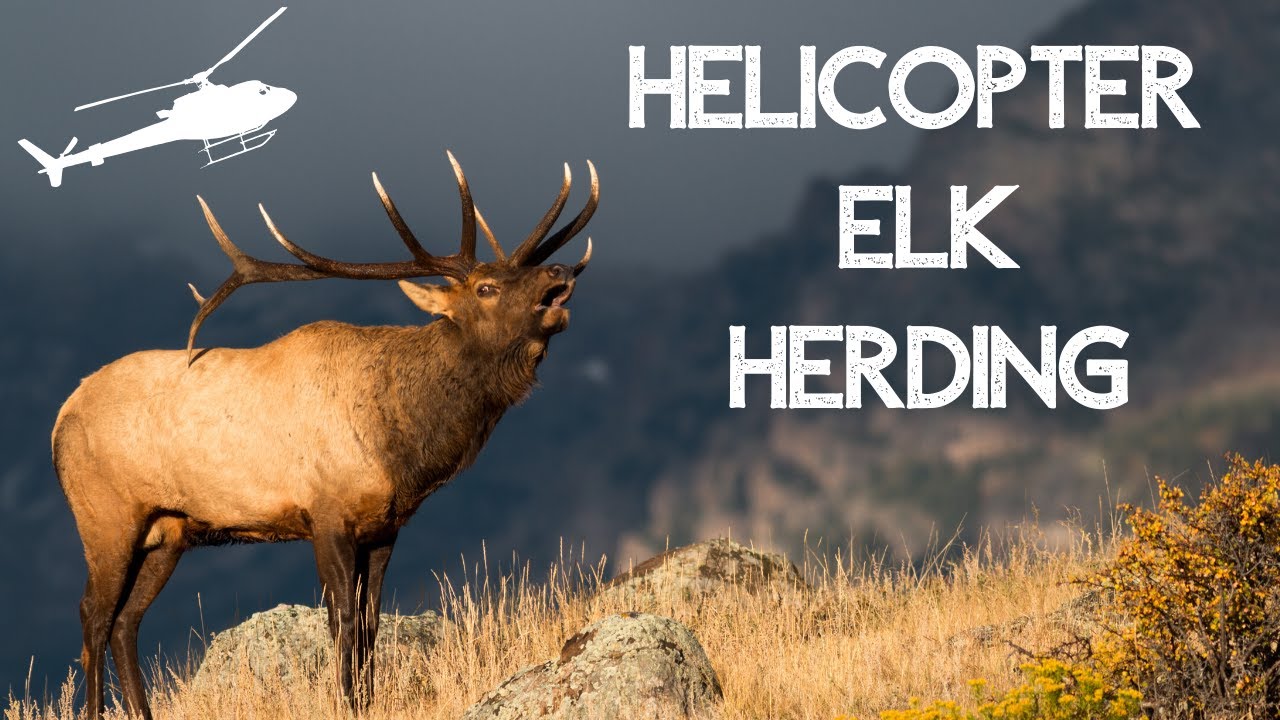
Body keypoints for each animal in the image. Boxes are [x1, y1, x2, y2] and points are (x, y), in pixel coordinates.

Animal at [50, 151, 598, 719]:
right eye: (486, 288)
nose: (560, 270)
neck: (402, 448)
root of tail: (60, 419)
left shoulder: (384, 527)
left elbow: (372, 621)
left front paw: (369, 699)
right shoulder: (326, 513)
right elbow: (343, 621)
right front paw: (347, 701)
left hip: (168, 531)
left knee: (125, 623)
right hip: (105, 516)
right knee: (93, 616)